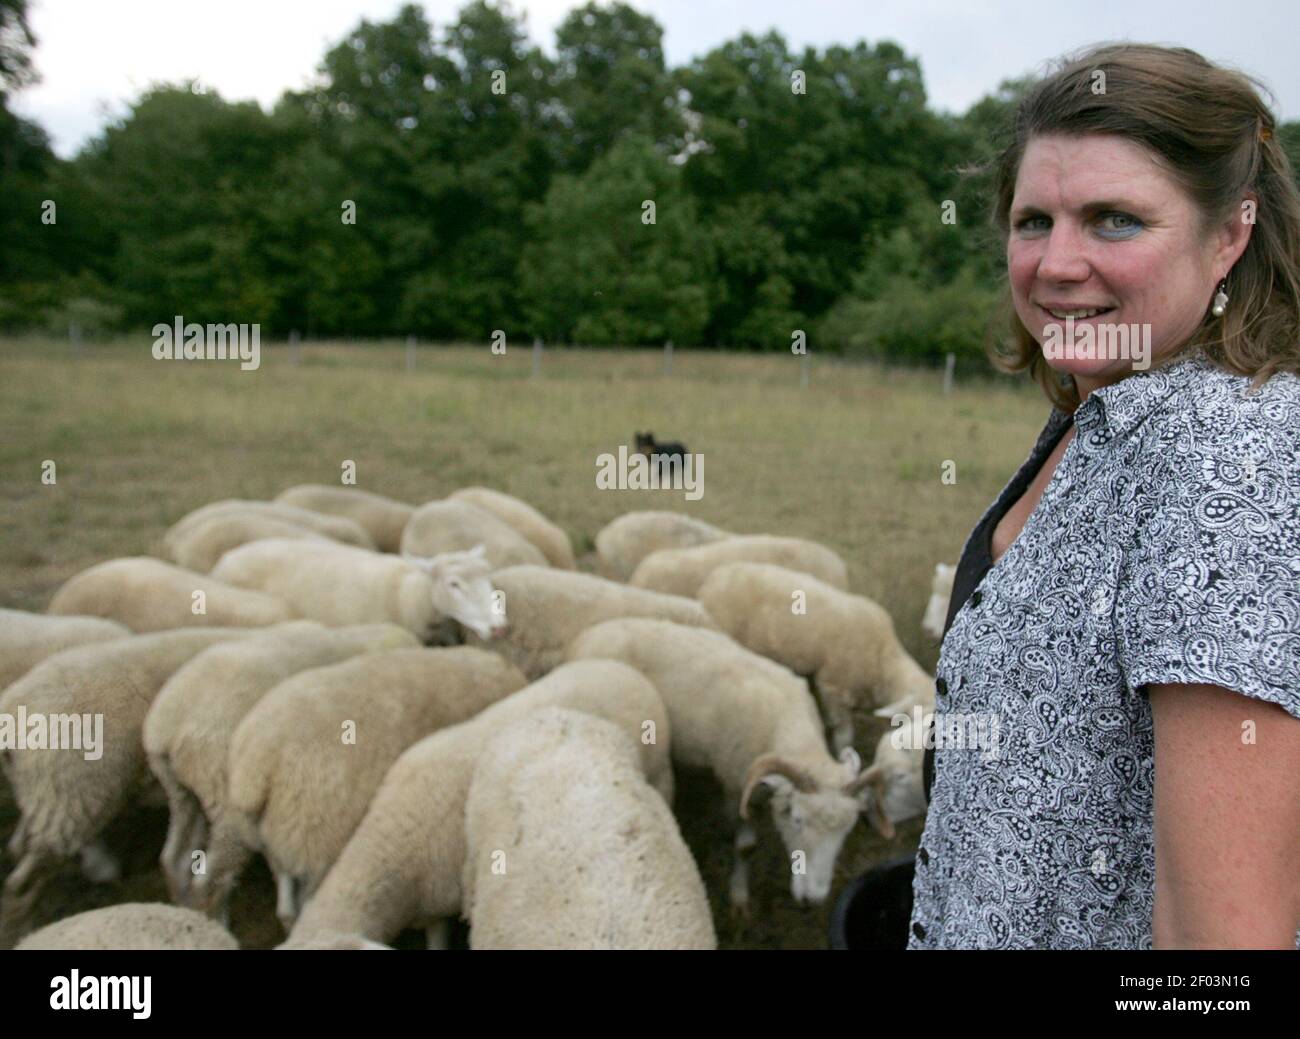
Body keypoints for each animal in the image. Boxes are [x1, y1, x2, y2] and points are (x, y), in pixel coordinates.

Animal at [565, 617, 891, 913]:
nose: (813, 900)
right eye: (797, 820)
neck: (785, 724)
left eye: (847, 830)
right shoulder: (736, 784)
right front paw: (739, 895)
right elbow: (745, 847)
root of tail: (589, 633)